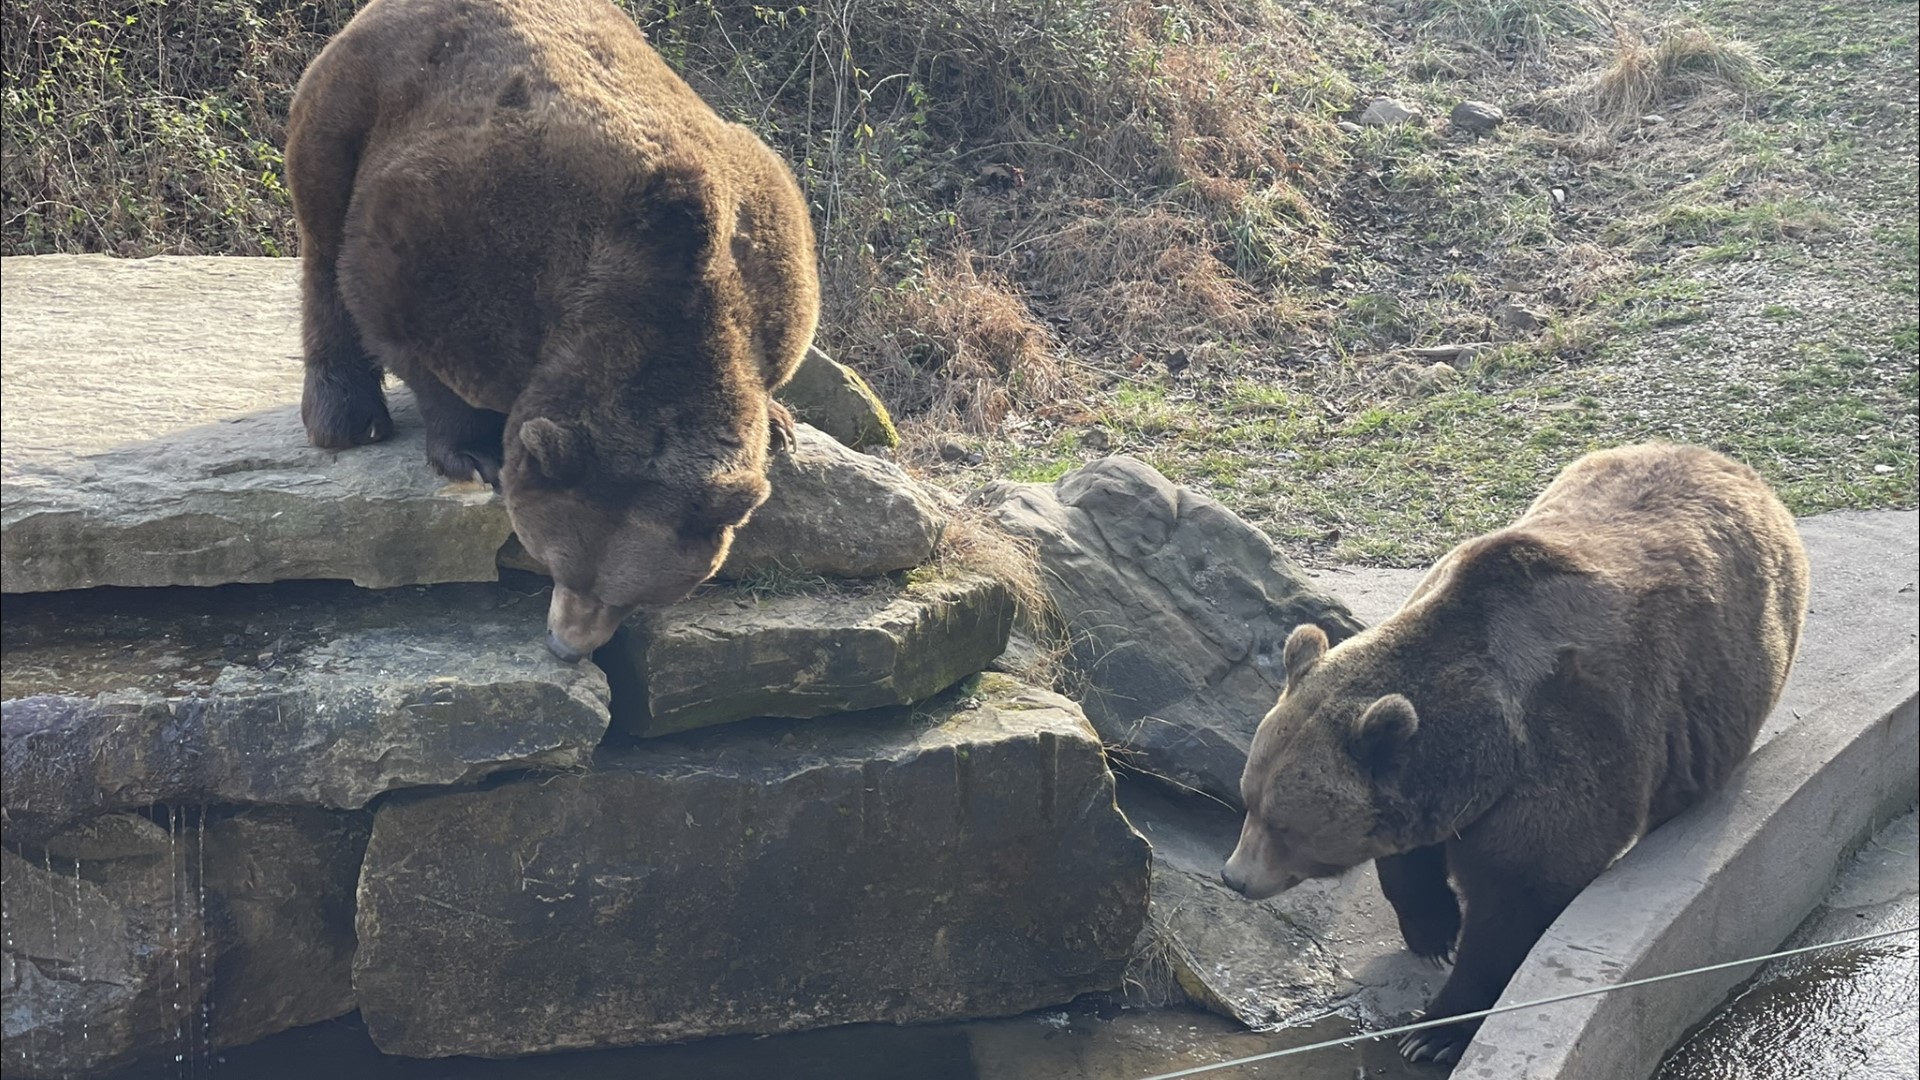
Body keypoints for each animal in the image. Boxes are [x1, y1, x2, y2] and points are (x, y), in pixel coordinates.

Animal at [285, 0, 820, 661]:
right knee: (323, 234)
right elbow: (402, 321)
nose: (567, 646)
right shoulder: (464, 240)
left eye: (631, 596)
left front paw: (780, 423)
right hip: (354, 103)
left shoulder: (773, 273)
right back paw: (346, 416)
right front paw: (475, 452)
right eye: (558, 563)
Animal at [1220, 442, 1810, 1066]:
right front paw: (1433, 932)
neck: (1485, 744)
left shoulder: (1564, 745)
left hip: (1730, 665)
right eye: (1249, 801)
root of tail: (1721, 461)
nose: (1235, 877)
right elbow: (1409, 856)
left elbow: (1519, 894)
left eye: (1285, 825)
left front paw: (1434, 1031)